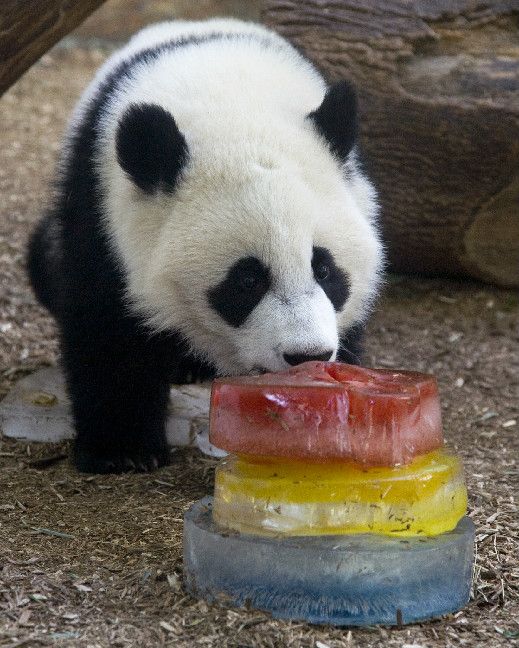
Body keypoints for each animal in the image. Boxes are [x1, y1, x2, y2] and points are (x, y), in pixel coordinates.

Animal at [28, 18, 383, 473]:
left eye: (323, 269)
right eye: (247, 280)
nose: (307, 355)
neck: (232, 100)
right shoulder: (102, 210)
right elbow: (107, 324)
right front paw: (122, 450)